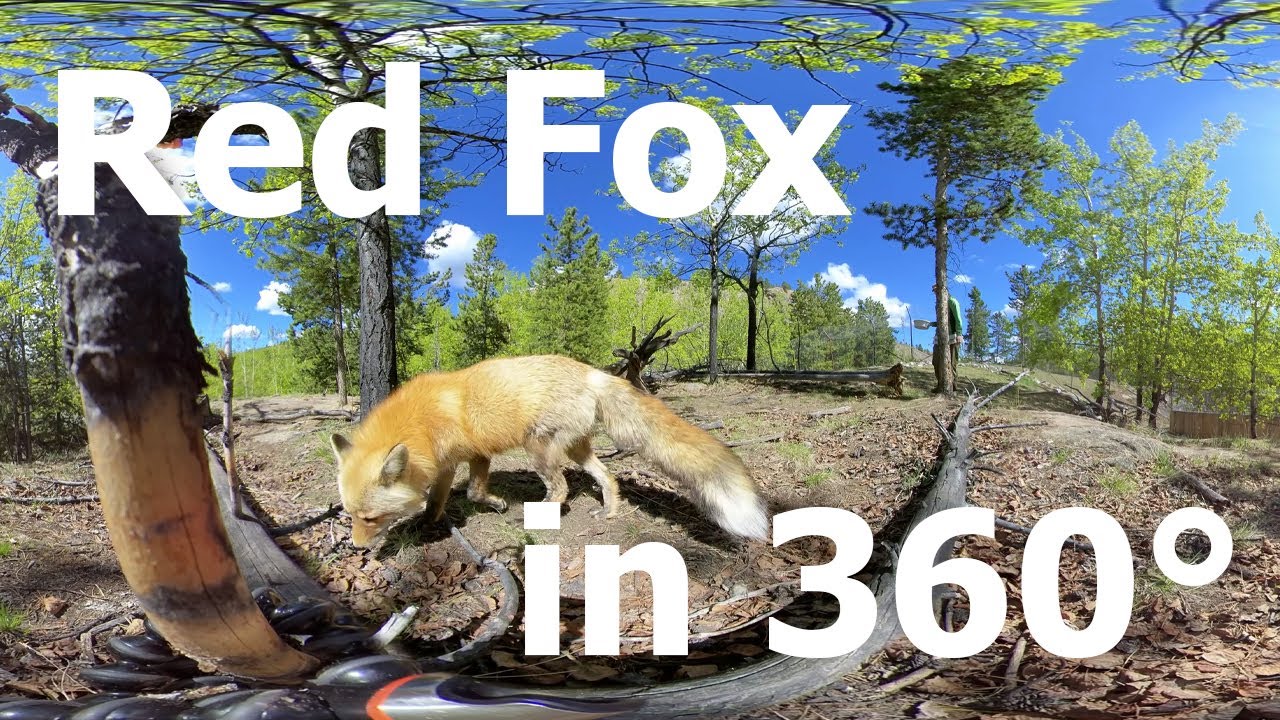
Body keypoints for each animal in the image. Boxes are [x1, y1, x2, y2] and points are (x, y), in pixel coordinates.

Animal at [329, 355, 770, 548]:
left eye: (370, 518)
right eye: (350, 516)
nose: (356, 546)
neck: (422, 422)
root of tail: (592, 372)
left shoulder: (477, 455)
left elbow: (473, 491)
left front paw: (495, 504)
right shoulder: (446, 464)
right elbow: (437, 500)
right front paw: (428, 523)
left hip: (538, 448)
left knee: (560, 490)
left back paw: (538, 516)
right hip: (576, 450)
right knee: (607, 477)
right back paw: (609, 512)